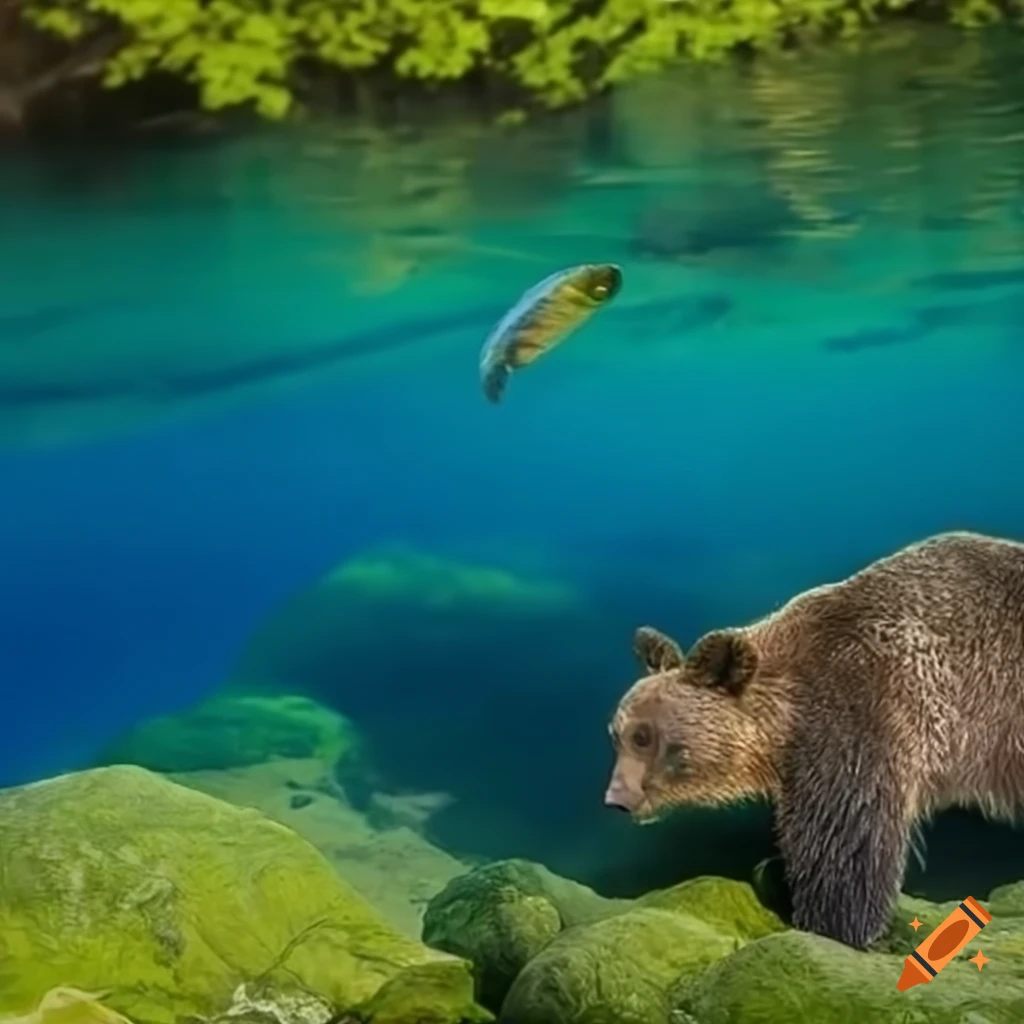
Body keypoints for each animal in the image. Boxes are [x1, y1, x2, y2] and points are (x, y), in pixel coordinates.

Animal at [604, 529, 1024, 949]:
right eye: (616, 734)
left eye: (644, 737)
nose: (616, 798)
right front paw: (774, 878)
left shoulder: (867, 717)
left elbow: (846, 843)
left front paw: (837, 923)